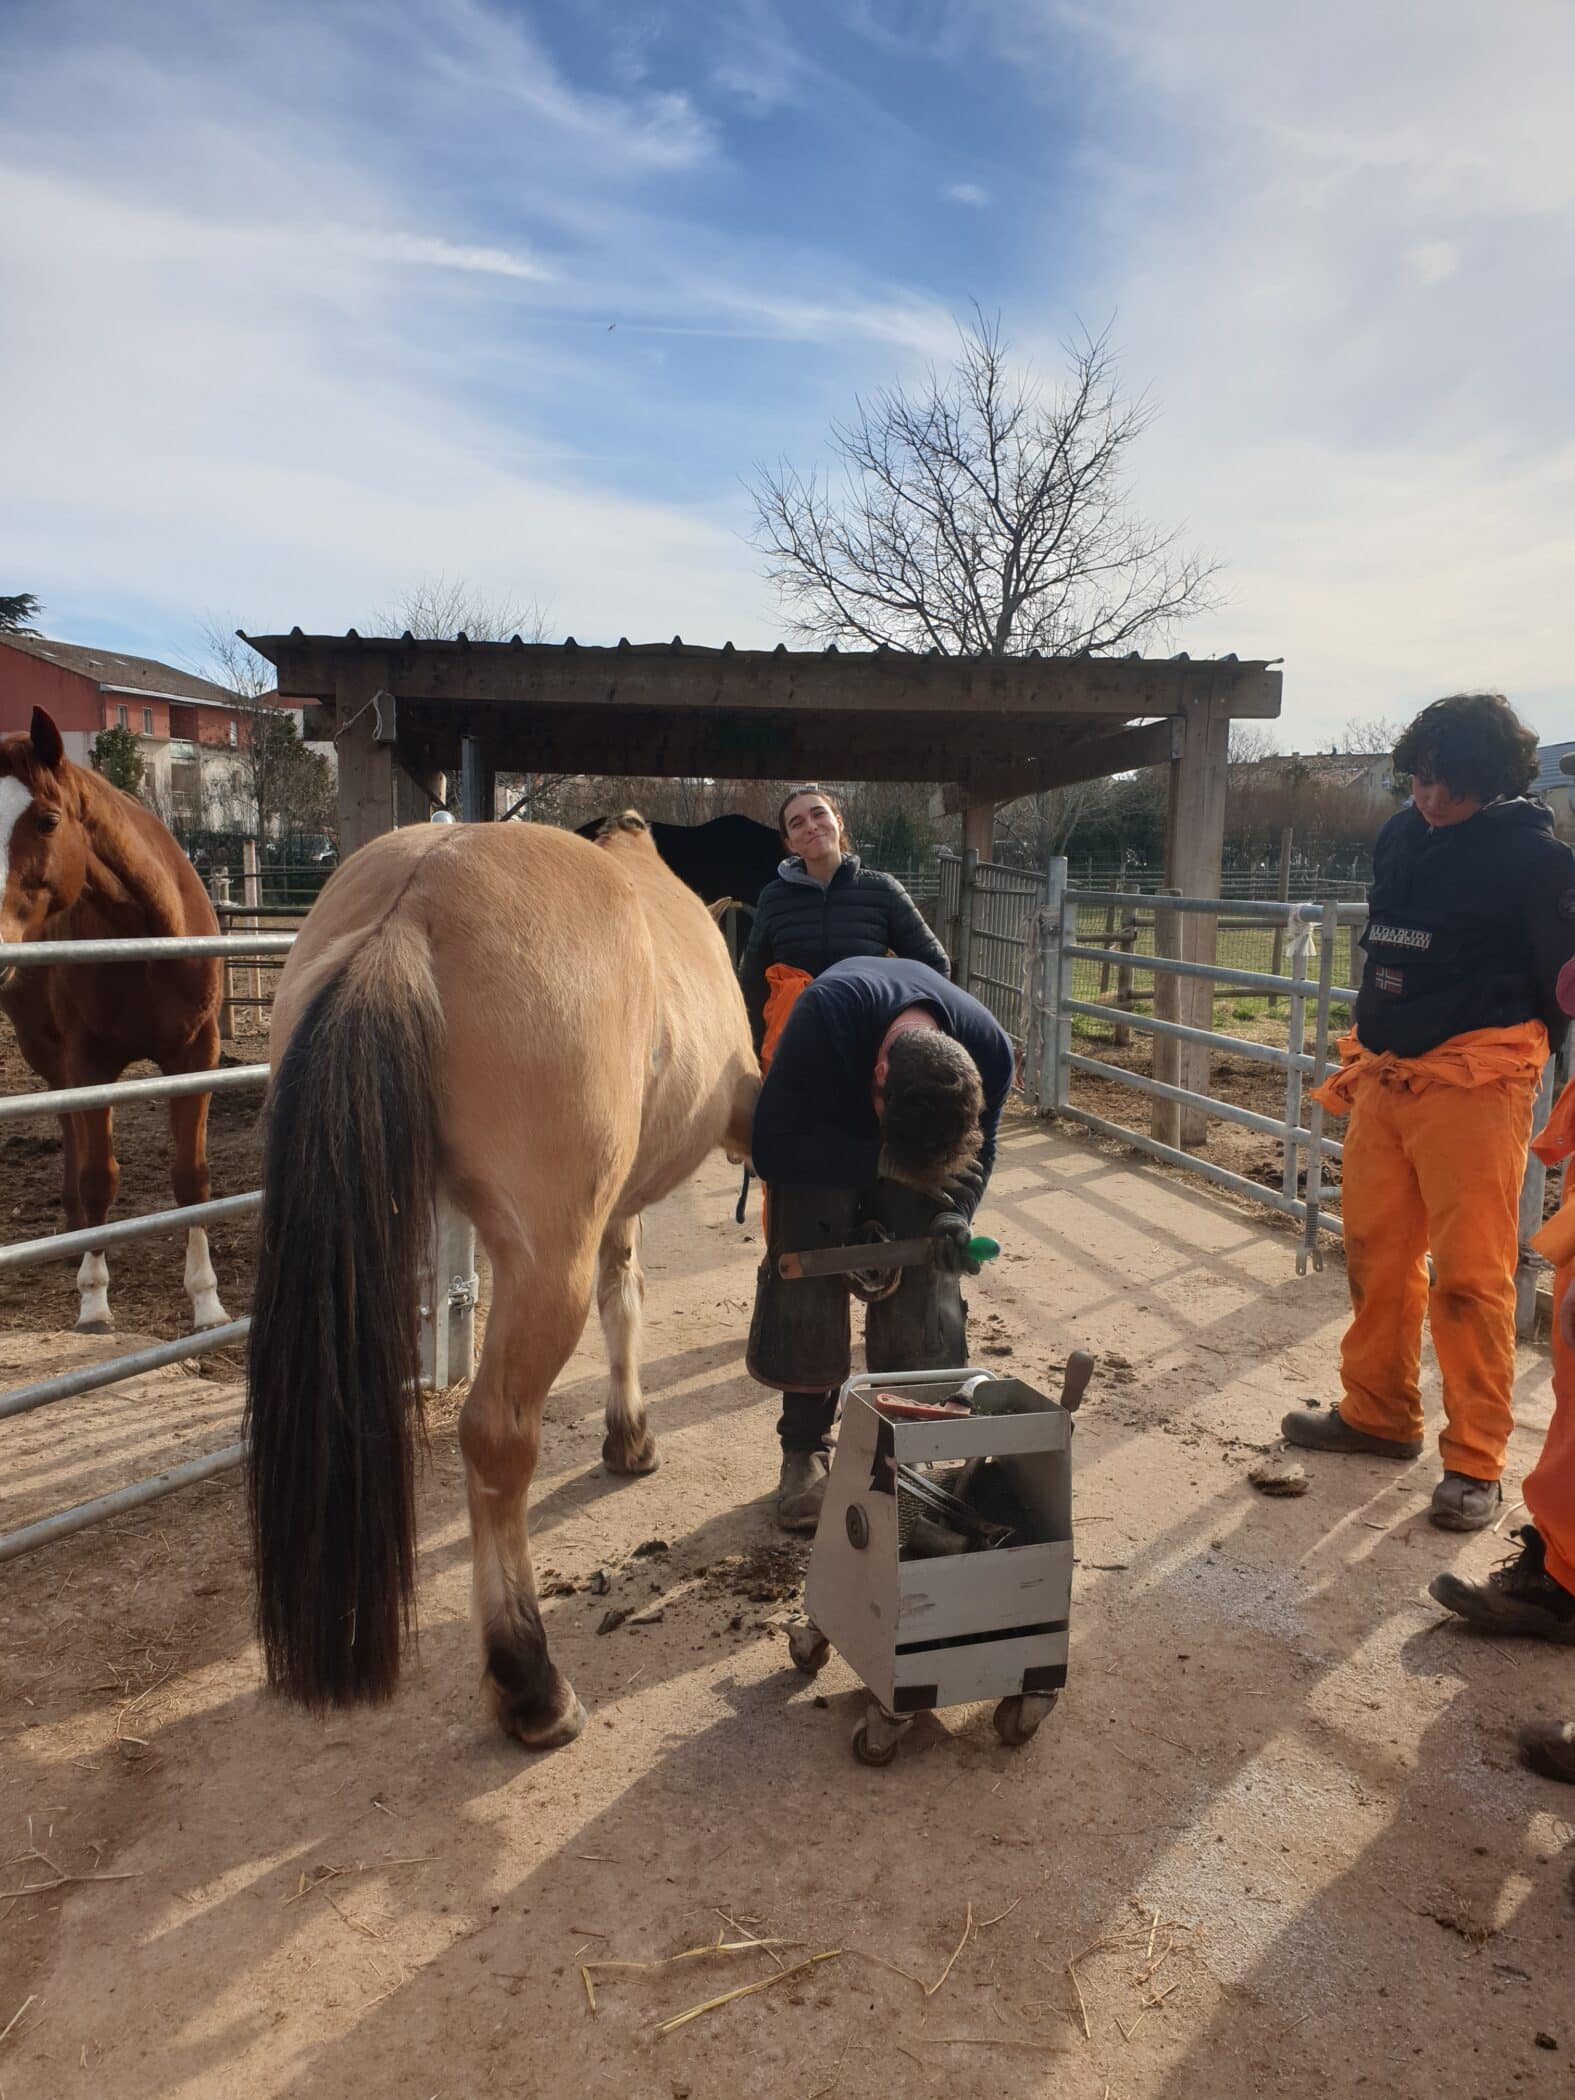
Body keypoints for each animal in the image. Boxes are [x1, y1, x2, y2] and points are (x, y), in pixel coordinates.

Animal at [0, 706, 229, 1334]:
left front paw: (207, 1302)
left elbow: (192, 1177)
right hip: (47, 1049)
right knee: (69, 1129)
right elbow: (99, 1174)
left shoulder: (197, 1054)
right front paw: (94, 1300)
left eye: (48, 820)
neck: (146, 936)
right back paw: (76, 1233)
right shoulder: (89, 1060)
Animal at [244, 810, 759, 1748]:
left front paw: (627, 1438)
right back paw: (532, 1684)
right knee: (495, 1437)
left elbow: (623, 1300)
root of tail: (413, 901)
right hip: (540, 1260)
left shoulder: (617, 1205)